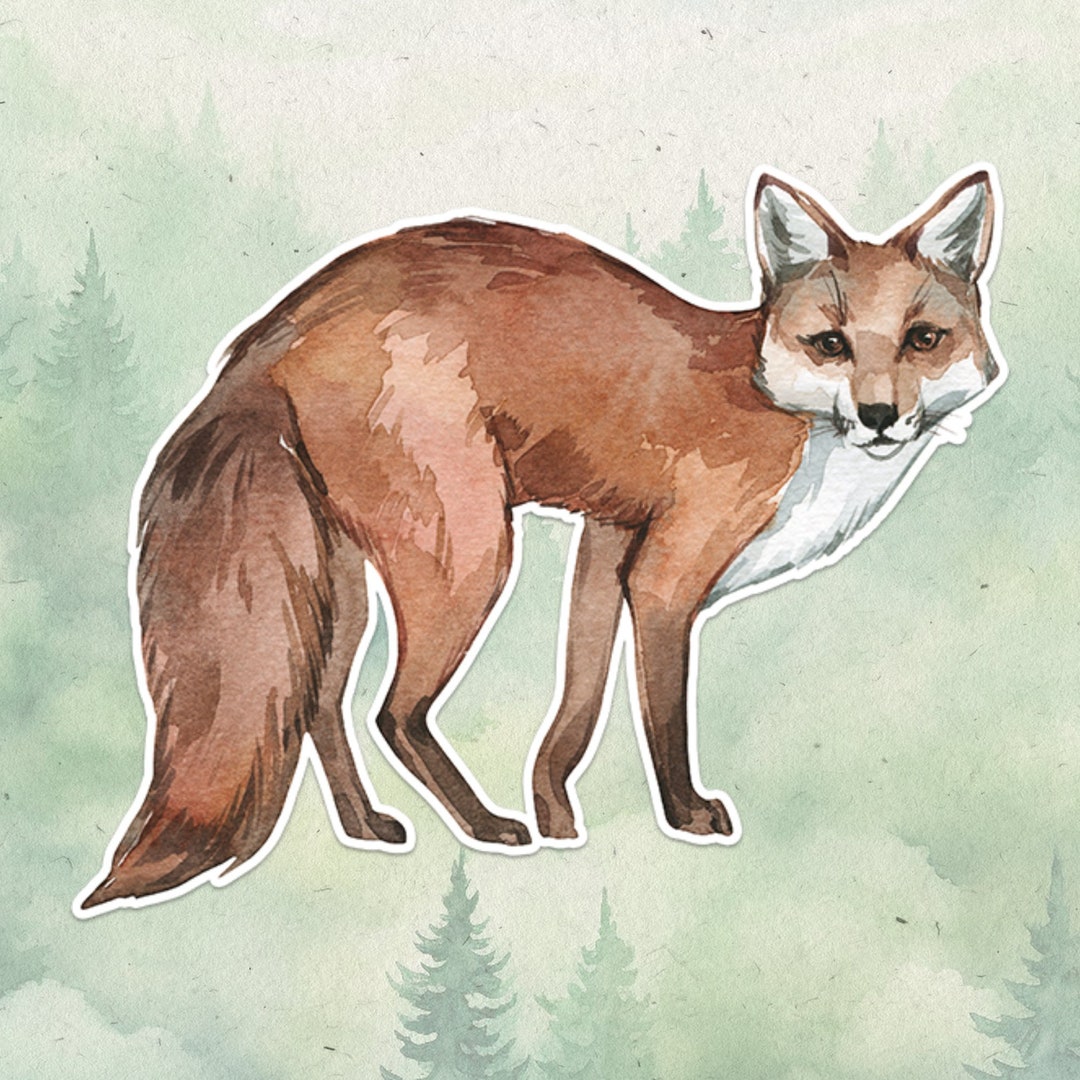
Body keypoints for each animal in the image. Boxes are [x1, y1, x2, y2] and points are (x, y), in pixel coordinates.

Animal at [76, 165, 1004, 914]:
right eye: (831, 343)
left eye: (923, 340)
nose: (880, 417)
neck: (777, 408)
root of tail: (274, 325)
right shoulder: (666, 576)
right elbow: (661, 717)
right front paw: (682, 818)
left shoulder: (608, 539)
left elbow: (575, 712)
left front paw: (559, 817)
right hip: (470, 555)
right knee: (393, 710)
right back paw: (485, 826)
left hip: (346, 581)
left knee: (320, 703)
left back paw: (369, 826)